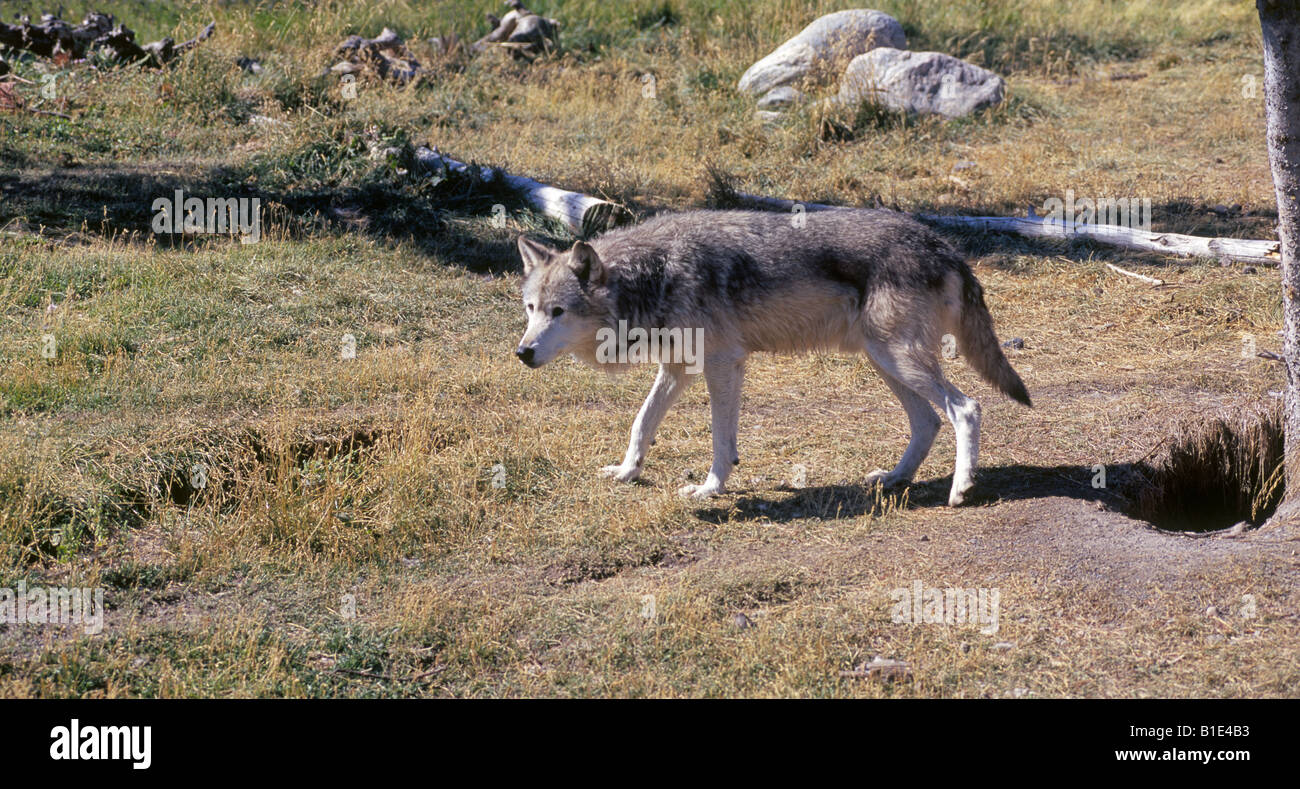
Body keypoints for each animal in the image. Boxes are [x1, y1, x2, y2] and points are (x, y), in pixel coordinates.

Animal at [514, 208, 1030, 506]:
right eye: (531, 308)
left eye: (559, 312)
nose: (522, 352)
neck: (654, 275)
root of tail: (945, 246)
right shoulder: (677, 368)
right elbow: (642, 424)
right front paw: (626, 472)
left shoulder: (723, 364)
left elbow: (719, 440)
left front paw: (710, 488)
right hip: (884, 362)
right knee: (928, 420)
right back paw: (893, 478)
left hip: (898, 360)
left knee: (966, 408)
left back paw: (960, 489)